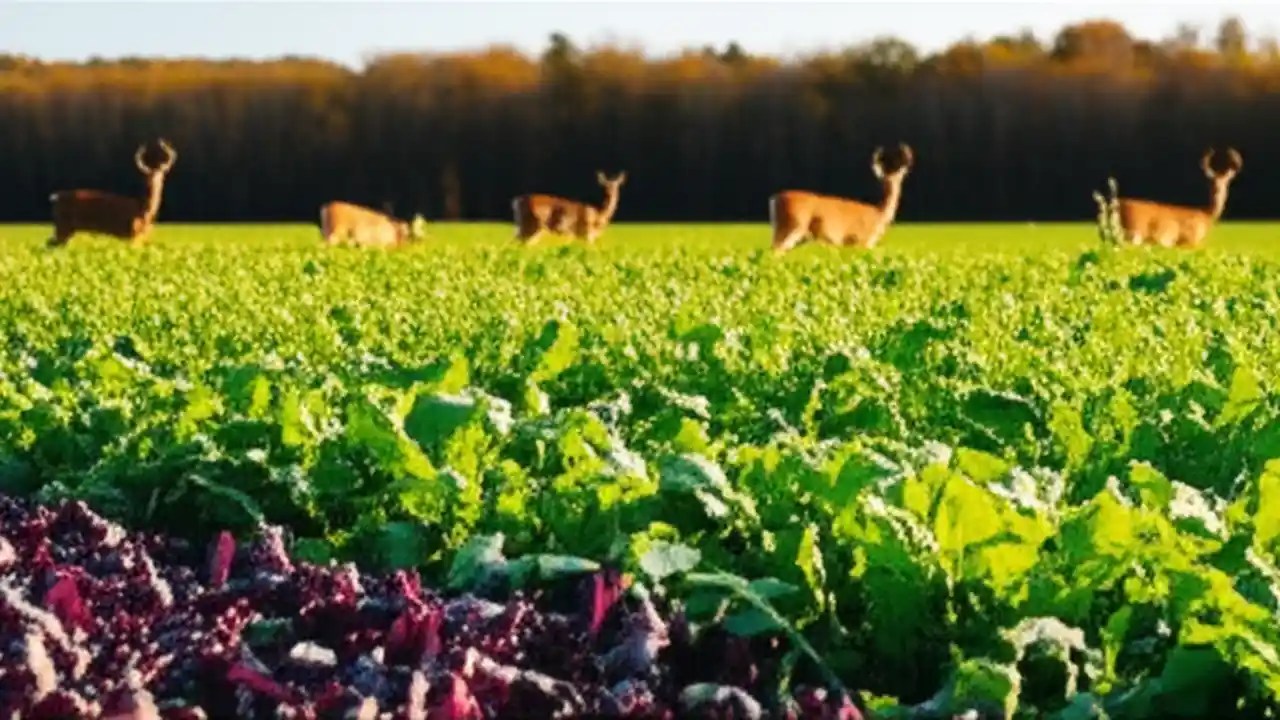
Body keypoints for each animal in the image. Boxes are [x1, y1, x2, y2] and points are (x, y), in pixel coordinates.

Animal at [48, 139, 178, 248]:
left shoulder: (139, 236)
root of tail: (56, 197)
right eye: (146, 175)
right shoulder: (131, 233)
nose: (152, 183)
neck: (142, 210)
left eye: (160, 176)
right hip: (63, 225)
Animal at [769, 143, 914, 255]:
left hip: (781, 228)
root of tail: (775, 199)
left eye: (898, 176)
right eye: (884, 178)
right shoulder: (860, 241)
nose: (891, 184)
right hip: (792, 225)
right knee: (775, 251)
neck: (879, 215)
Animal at [1109, 148, 1243, 248]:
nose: (1217, 190)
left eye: (1226, 183)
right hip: (1137, 229)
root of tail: (1116, 205)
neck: (1206, 216)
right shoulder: (1191, 240)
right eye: (1210, 182)